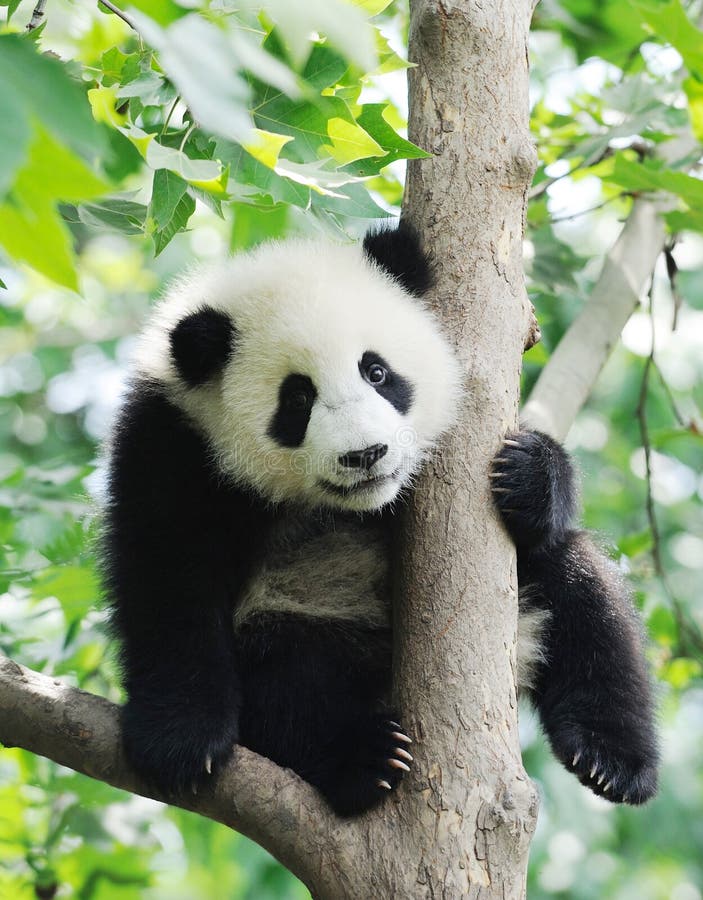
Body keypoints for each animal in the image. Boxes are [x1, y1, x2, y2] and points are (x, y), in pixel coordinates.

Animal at [102, 223, 659, 817]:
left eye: (377, 372)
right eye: (297, 398)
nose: (365, 454)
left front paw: (529, 473)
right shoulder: (171, 440)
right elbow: (168, 574)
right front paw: (180, 739)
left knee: (582, 600)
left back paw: (611, 758)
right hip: (302, 620)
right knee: (290, 687)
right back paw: (365, 757)